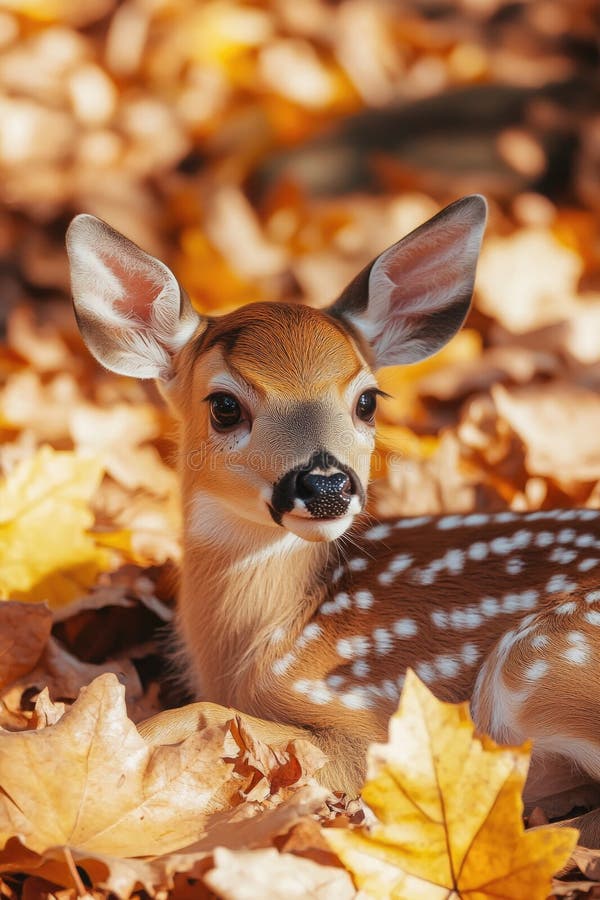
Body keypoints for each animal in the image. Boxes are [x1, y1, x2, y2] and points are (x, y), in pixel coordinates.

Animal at [66, 195, 600, 844]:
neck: (261, 640)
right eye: (224, 406)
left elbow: (209, 714)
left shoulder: (369, 719)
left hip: (534, 666)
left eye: (367, 401)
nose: (325, 485)